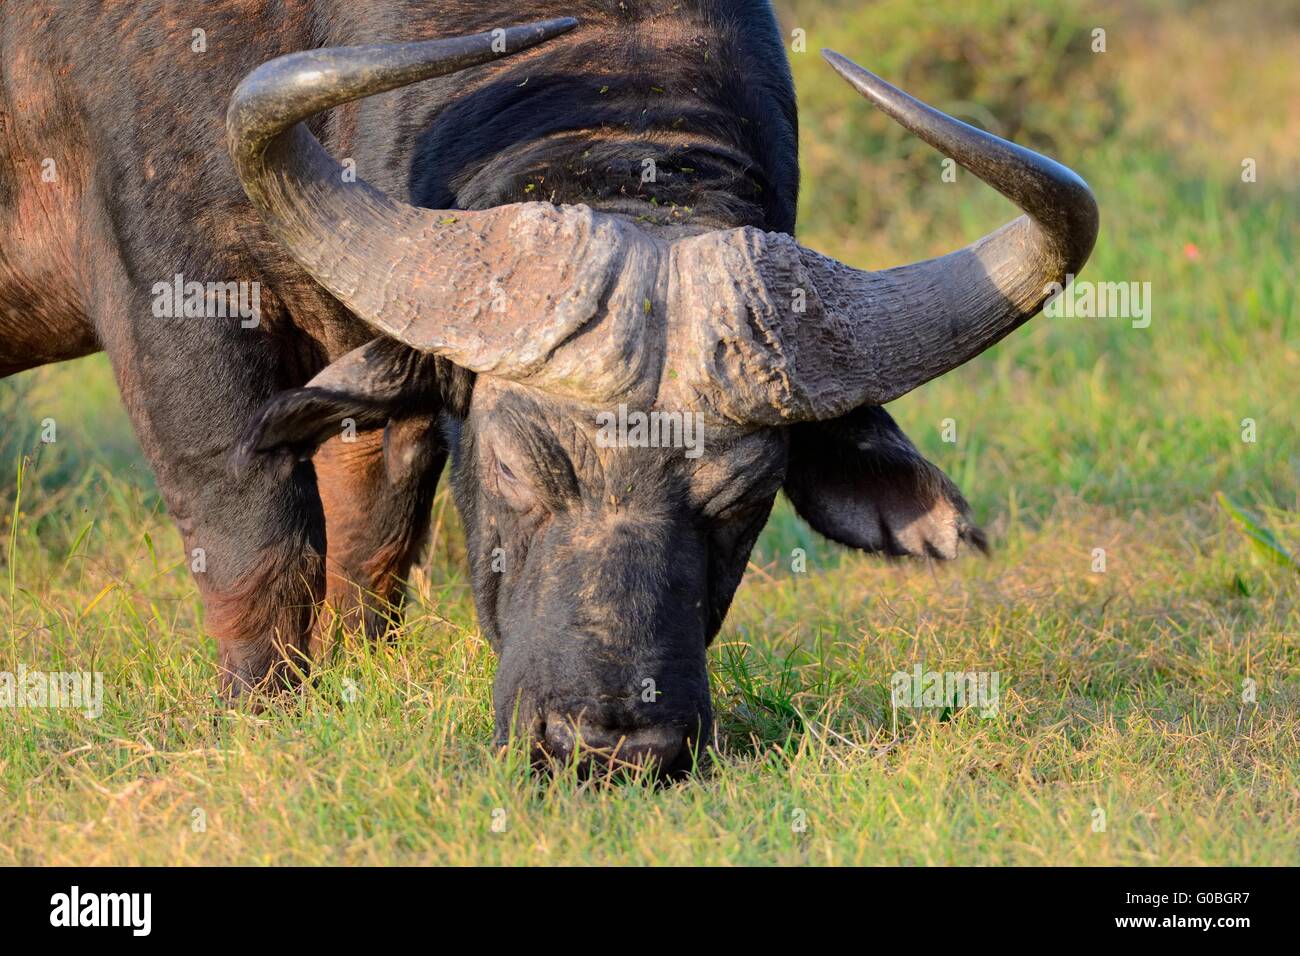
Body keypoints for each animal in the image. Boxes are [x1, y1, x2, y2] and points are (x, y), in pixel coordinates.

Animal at [0, 2, 1096, 775]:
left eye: (742, 502)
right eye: (522, 465)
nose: (609, 747)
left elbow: (371, 553)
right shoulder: (171, 299)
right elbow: (262, 547)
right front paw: (259, 717)